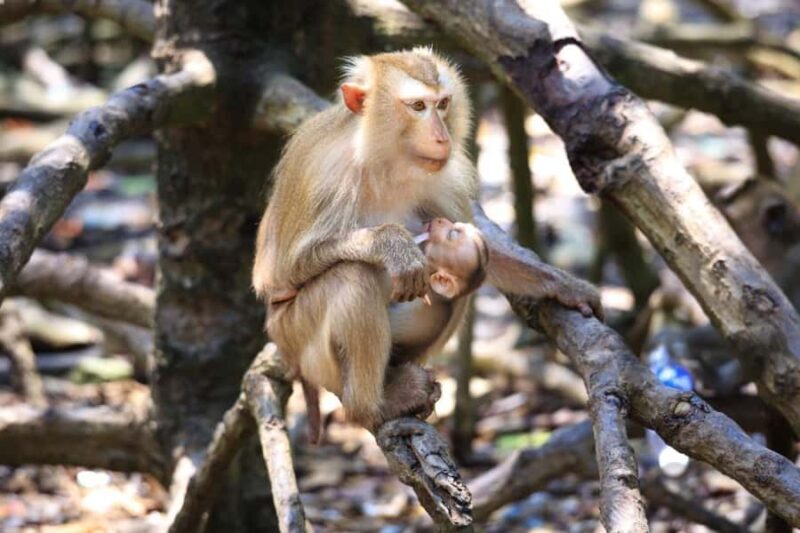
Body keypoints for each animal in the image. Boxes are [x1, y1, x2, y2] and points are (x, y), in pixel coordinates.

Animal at [253, 48, 602, 432]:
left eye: (443, 103)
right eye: (418, 106)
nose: (441, 137)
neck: (382, 161)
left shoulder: (439, 180)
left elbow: (482, 248)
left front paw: (563, 285)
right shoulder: (328, 177)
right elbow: (287, 272)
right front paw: (391, 244)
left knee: (451, 297)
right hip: (296, 337)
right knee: (355, 276)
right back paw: (371, 406)